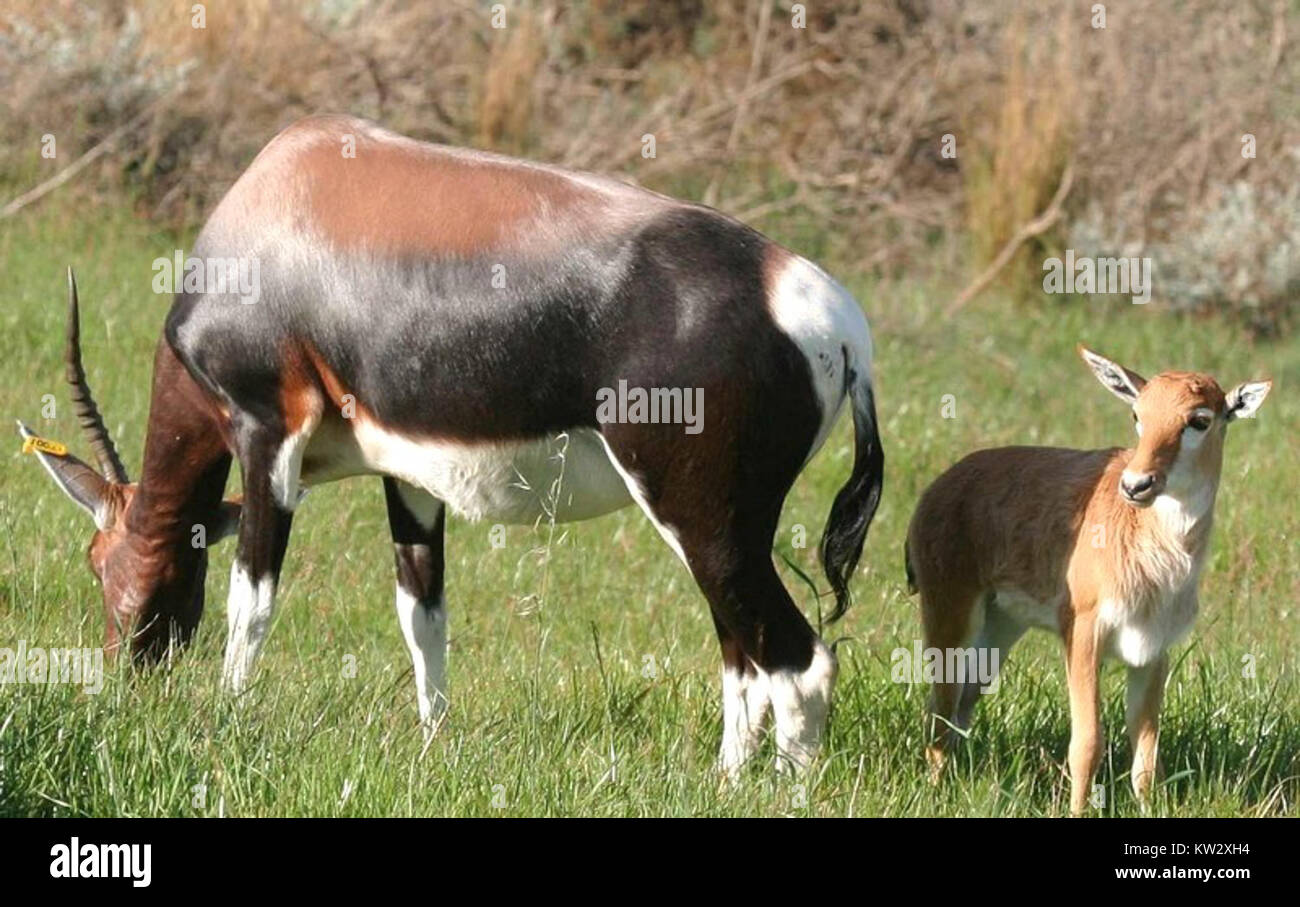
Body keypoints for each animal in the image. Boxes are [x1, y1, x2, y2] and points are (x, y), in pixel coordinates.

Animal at [19, 115, 883, 774]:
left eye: (103, 559)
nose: (125, 678)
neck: (286, 196)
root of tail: (837, 322)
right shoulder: (409, 476)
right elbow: (422, 614)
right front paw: (432, 740)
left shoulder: (267, 435)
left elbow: (253, 599)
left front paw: (229, 715)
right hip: (726, 535)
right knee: (743, 657)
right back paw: (726, 779)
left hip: (704, 522)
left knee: (799, 662)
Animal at [905, 346, 1271, 813]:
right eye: (1137, 413)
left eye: (1200, 419)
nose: (1136, 484)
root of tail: (935, 490)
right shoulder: (1082, 633)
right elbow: (1087, 741)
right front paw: (1077, 810)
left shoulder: (1154, 650)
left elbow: (1146, 750)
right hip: (949, 610)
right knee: (941, 702)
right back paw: (935, 791)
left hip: (1002, 624)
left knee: (963, 699)